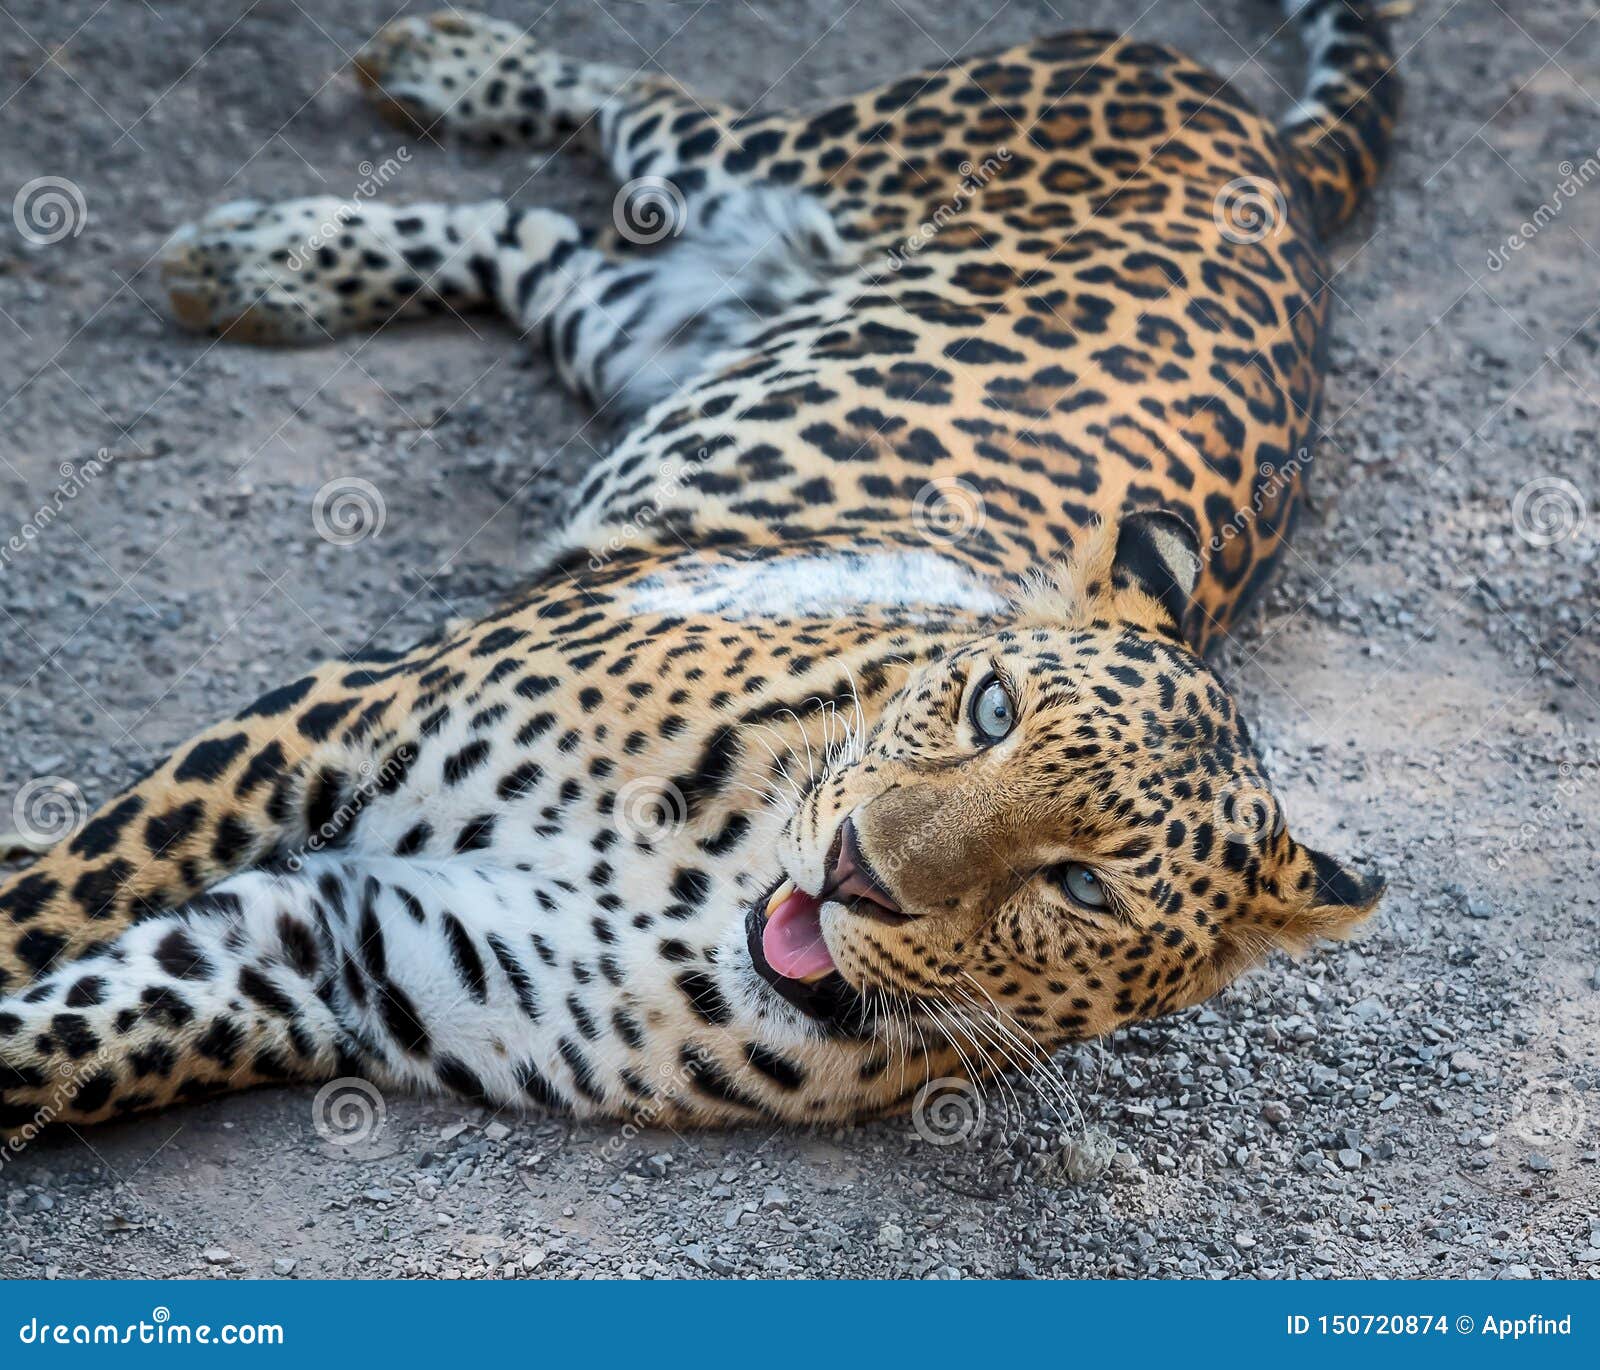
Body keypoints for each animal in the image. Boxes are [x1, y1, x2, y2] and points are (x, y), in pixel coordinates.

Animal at [0, 0, 1400, 1136]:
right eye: (991, 705)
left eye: (1082, 885)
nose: (855, 869)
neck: (704, 881)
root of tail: (1283, 161)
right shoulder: (339, 717)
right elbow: (61, 891)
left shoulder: (333, 953)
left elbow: (67, 1032)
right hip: (799, 157)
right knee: (638, 100)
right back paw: (410, 87)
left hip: (629, 322)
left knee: (536, 239)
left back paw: (269, 264)